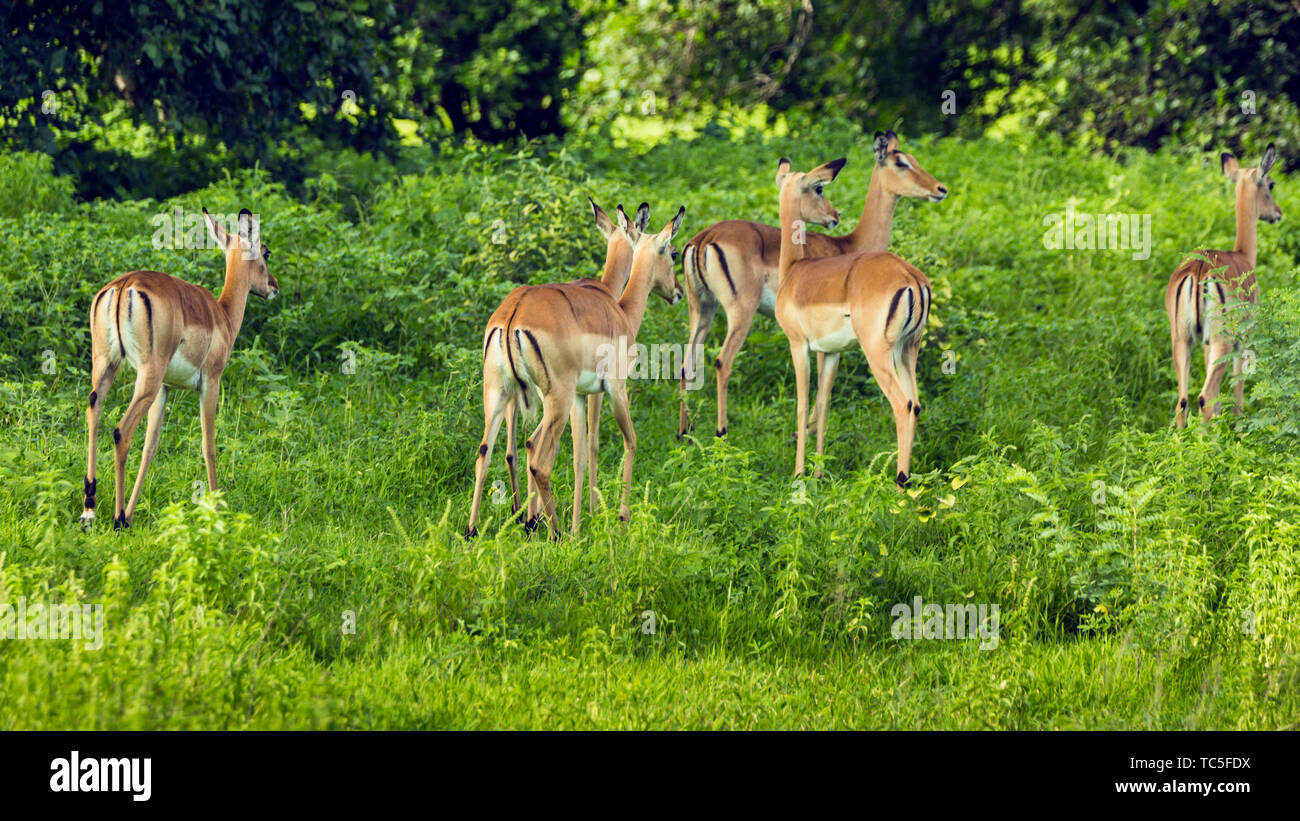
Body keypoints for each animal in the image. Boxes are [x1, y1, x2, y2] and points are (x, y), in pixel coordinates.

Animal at [81, 208, 279, 528]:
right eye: (265, 252)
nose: (274, 286)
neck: (222, 315)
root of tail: (123, 286)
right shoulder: (211, 381)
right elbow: (208, 444)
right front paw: (216, 509)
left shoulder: (165, 389)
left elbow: (150, 447)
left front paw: (132, 513)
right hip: (146, 376)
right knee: (121, 432)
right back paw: (117, 518)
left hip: (106, 366)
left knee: (93, 413)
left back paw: (91, 510)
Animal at [468, 205, 685, 538]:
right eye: (673, 253)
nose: (679, 291)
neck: (620, 310)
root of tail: (513, 313)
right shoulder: (614, 391)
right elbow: (626, 442)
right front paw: (619, 517)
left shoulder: (582, 397)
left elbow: (579, 456)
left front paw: (579, 525)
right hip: (556, 398)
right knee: (538, 459)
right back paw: (551, 531)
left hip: (499, 394)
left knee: (487, 453)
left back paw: (479, 530)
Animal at [678, 130, 946, 438]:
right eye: (902, 162)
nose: (940, 189)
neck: (848, 245)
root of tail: (704, 238)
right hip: (741, 311)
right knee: (723, 361)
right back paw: (721, 432)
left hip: (702, 309)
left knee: (686, 364)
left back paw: (684, 433)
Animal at [773, 157, 931, 485]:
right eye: (819, 188)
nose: (835, 216)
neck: (795, 271)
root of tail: (911, 277)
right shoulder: (832, 352)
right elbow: (823, 405)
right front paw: (818, 472)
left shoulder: (798, 345)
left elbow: (802, 405)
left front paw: (798, 474)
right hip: (908, 351)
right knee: (916, 404)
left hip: (878, 354)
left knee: (902, 405)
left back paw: (900, 482)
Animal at [1167, 144, 1282, 427]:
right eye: (1271, 184)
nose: (1278, 213)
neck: (1243, 255)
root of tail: (1199, 270)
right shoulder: (1244, 339)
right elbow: (1237, 394)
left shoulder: (1206, 344)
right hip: (1223, 341)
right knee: (1205, 398)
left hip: (1182, 340)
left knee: (1182, 402)